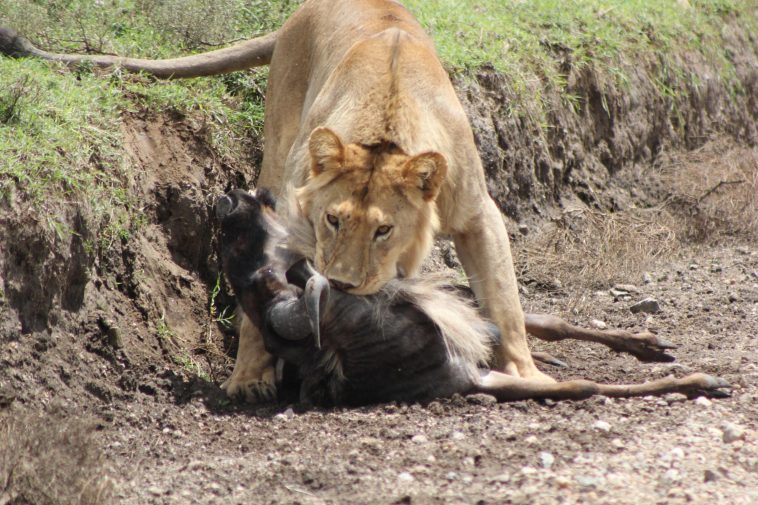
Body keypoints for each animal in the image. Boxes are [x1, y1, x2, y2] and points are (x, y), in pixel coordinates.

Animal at [0, 0, 679, 402]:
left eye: (384, 230)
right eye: (333, 220)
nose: (347, 289)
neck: (387, 129)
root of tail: (301, 10)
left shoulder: (478, 216)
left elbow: (508, 307)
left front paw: (528, 370)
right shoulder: (293, 221)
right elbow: (260, 296)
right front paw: (251, 373)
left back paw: (641, 344)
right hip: (278, 143)